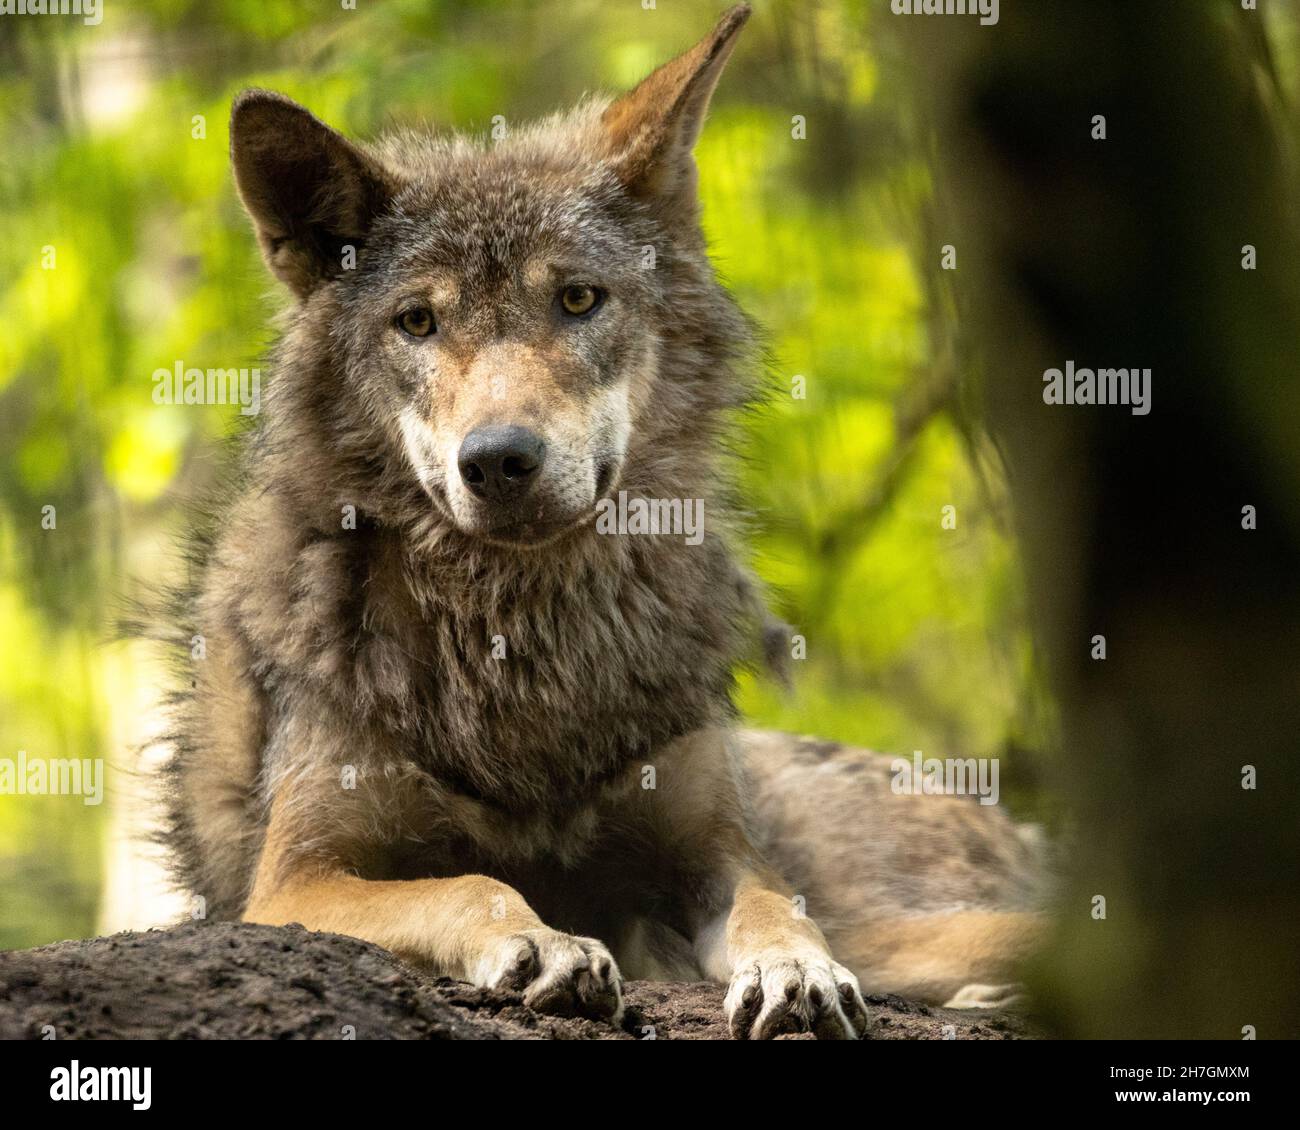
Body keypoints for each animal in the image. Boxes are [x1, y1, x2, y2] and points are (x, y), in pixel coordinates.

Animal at [161, 4, 1044, 1038]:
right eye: (417, 322)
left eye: (578, 298)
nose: (499, 458)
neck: (522, 645)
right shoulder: (296, 883)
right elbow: (473, 883)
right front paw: (544, 943)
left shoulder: (717, 854)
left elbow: (775, 909)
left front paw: (794, 970)